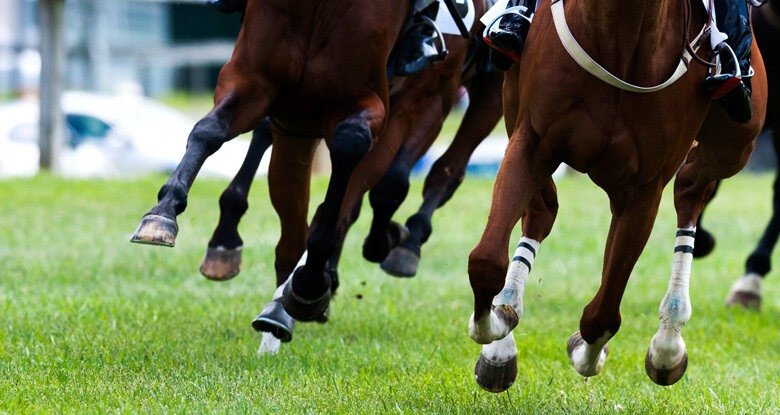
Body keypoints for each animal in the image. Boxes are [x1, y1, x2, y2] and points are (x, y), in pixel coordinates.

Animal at [130, 0, 414, 342]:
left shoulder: (367, 96)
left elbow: (350, 144)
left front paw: (311, 282)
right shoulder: (253, 79)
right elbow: (208, 129)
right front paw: (163, 211)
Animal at [465, 0, 767, 393]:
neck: (619, 27)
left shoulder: (644, 187)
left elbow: (602, 314)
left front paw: (586, 353)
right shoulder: (532, 139)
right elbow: (486, 261)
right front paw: (495, 333)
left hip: (735, 144)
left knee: (690, 188)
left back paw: (669, 339)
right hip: (514, 104)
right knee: (542, 210)